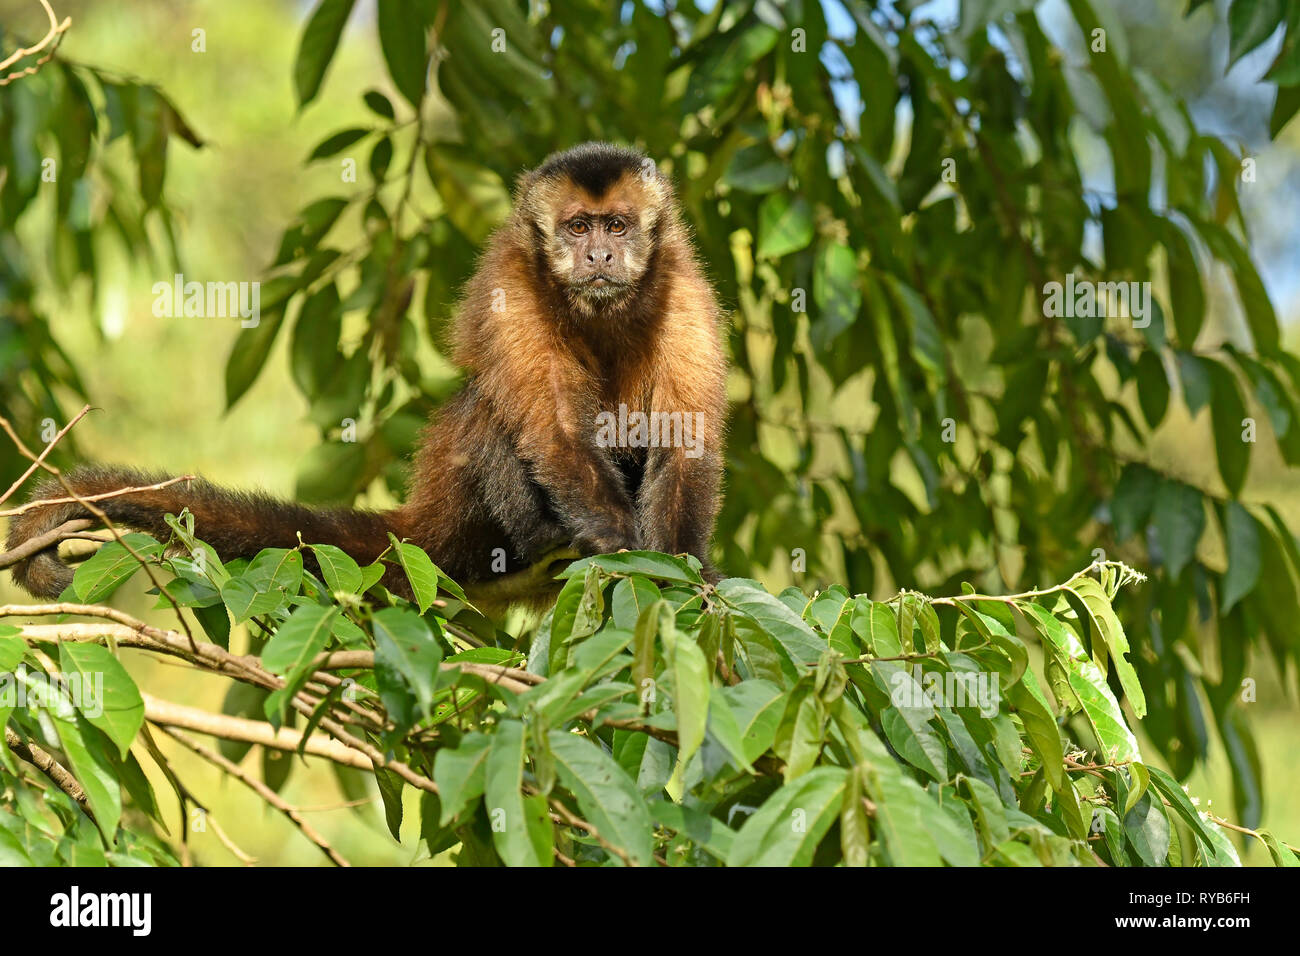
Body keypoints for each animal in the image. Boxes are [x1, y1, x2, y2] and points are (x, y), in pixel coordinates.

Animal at [6, 143, 728, 607]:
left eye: (616, 226)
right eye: (577, 228)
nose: (599, 255)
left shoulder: (683, 288)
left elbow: (683, 437)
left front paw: (688, 569)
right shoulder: (514, 282)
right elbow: (552, 427)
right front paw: (617, 540)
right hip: (467, 512)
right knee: (488, 407)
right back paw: (543, 542)